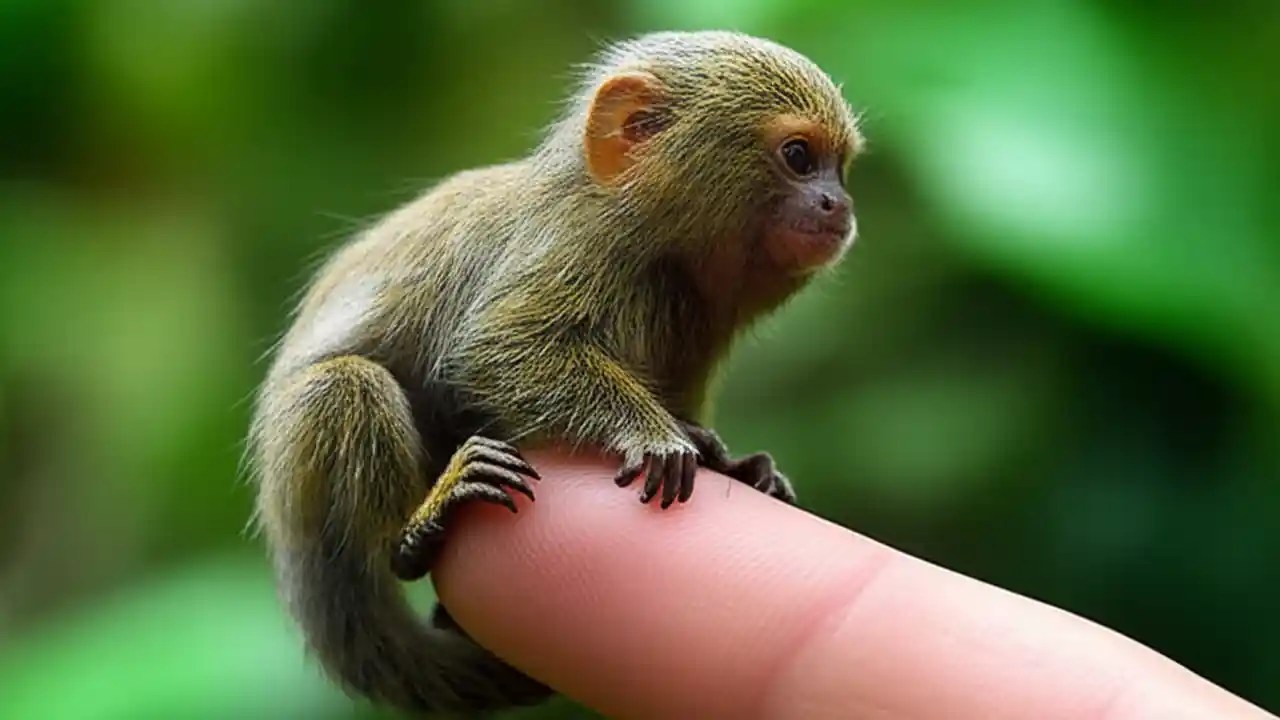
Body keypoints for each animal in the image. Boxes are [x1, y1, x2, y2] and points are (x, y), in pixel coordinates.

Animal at [249, 30, 863, 718]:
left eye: (840, 168)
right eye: (798, 157)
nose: (839, 204)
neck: (658, 259)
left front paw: (726, 460)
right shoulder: (573, 247)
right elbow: (495, 347)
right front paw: (652, 434)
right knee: (345, 386)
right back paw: (418, 528)